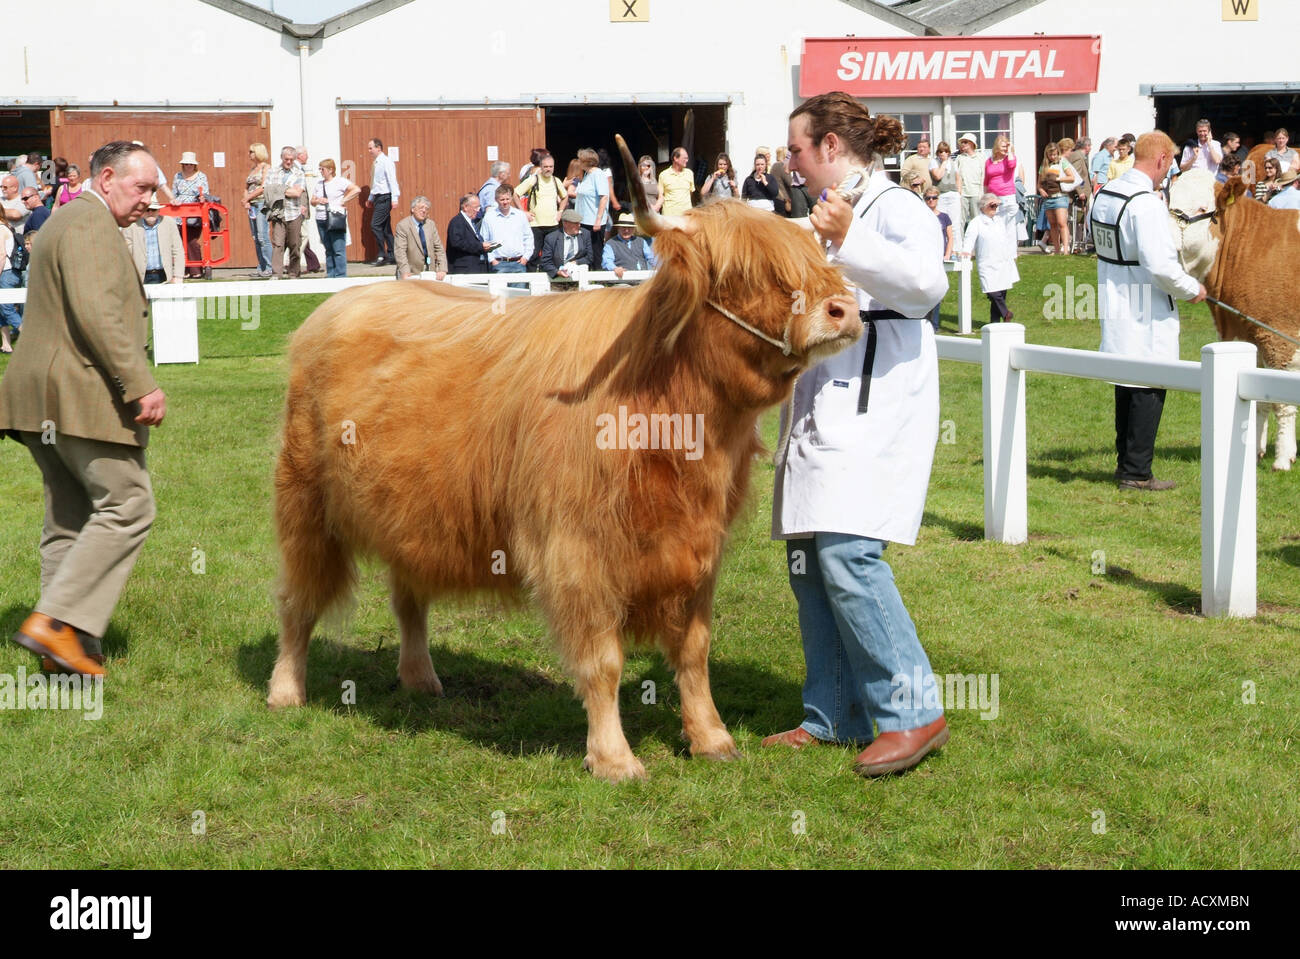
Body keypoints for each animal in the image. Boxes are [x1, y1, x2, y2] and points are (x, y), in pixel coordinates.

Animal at [266, 135, 862, 781]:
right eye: (745, 273)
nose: (845, 310)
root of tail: (335, 308)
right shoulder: (578, 549)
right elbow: (603, 660)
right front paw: (614, 759)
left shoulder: (700, 548)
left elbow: (695, 650)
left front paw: (711, 738)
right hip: (306, 504)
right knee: (299, 602)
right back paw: (286, 691)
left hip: (412, 509)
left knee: (408, 597)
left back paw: (421, 679)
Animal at [1169, 170, 1300, 469]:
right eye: (1168, 201)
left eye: (1202, 208)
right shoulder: (1250, 334)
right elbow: (1260, 399)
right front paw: (1255, 451)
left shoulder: (1280, 338)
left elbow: (1282, 401)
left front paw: (1283, 458)